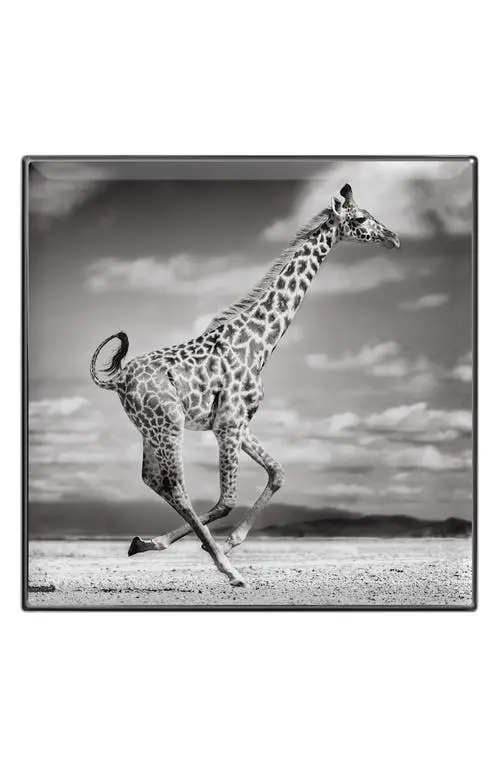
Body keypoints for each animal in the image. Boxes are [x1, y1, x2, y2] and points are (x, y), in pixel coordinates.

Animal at [90, 183, 400, 587]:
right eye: (360, 218)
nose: (393, 237)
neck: (260, 343)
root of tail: (119, 379)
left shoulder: (238, 422)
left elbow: (278, 472)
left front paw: (228, 541)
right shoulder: (228, 424)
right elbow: (227, 500)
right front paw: (223, 552)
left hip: (150, 429)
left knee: (153, 480)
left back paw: (146, 543)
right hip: (169, 425)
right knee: (176, 486)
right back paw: (228, 569)